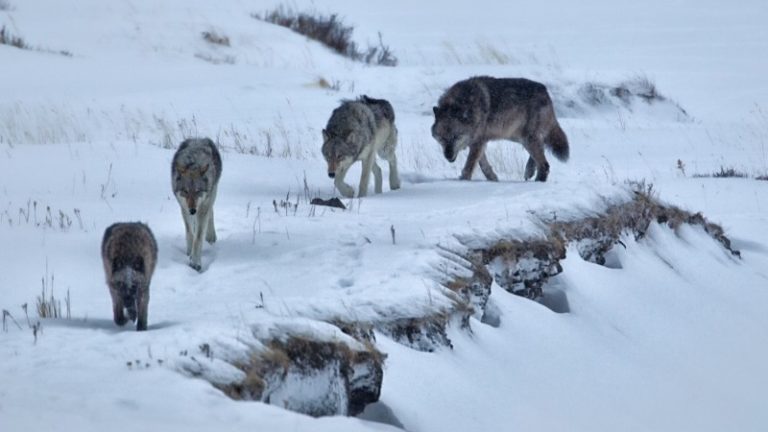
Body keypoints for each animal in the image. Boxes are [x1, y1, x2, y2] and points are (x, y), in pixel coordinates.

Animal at [171, 138, 222, 271]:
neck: (193, 163)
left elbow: (198, 237)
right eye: (185, 191)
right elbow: (190, 232)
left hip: (212, 194)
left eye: (198, 191)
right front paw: (189, 253)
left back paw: (211, 237)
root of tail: (198, 138)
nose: (193, 210)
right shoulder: (184, 208)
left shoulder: (203, 207)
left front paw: (195, 262)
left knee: (211, 212)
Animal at [432, 76, 569, 182]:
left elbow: (469, 165)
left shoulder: (478, 142)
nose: (448, 156)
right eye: (442, 138)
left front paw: (463, 181)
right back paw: (529, 171)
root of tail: (545, 90)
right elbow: (484, 165)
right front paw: (493, 179)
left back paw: (536, 182)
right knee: (542, 149)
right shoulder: (479, 142)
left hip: (527, 139)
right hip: (519, 138)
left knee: (545, 164)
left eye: (456, 137)